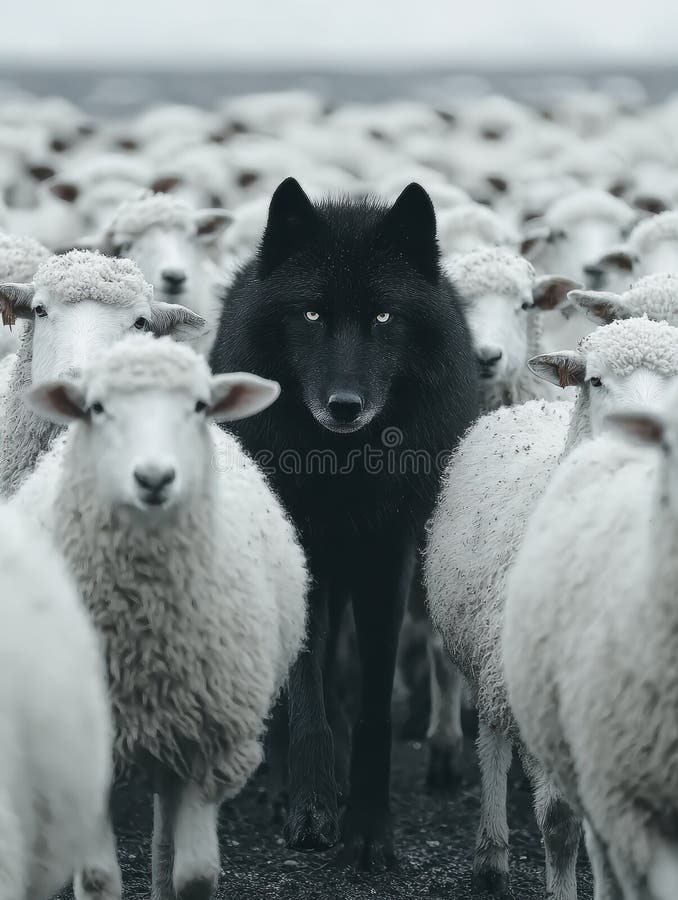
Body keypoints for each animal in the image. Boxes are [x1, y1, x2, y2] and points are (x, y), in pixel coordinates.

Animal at [13, 334, 308, 900]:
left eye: (199, 405)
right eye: (96, 408)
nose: (154, 478)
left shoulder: (210, 746)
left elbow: (194, 876)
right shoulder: (93, 755)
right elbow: (99, 880)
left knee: (164, 844)